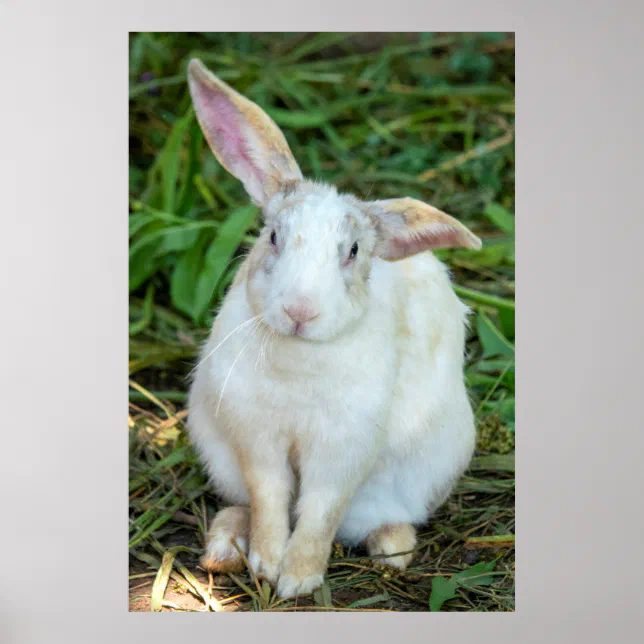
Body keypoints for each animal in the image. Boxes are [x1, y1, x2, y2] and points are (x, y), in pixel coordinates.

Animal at [185, 58, 482, 599]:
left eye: (353, 252)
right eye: (273, 236)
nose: (300, 310)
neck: (299, 356)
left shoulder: (343, 451)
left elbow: (320, 513)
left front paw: (298, 579)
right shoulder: (257, 439)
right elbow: (269, 497)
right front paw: (266, 563)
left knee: (374, 520)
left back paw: (393, 550)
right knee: (241, 504)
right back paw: (224, 550)